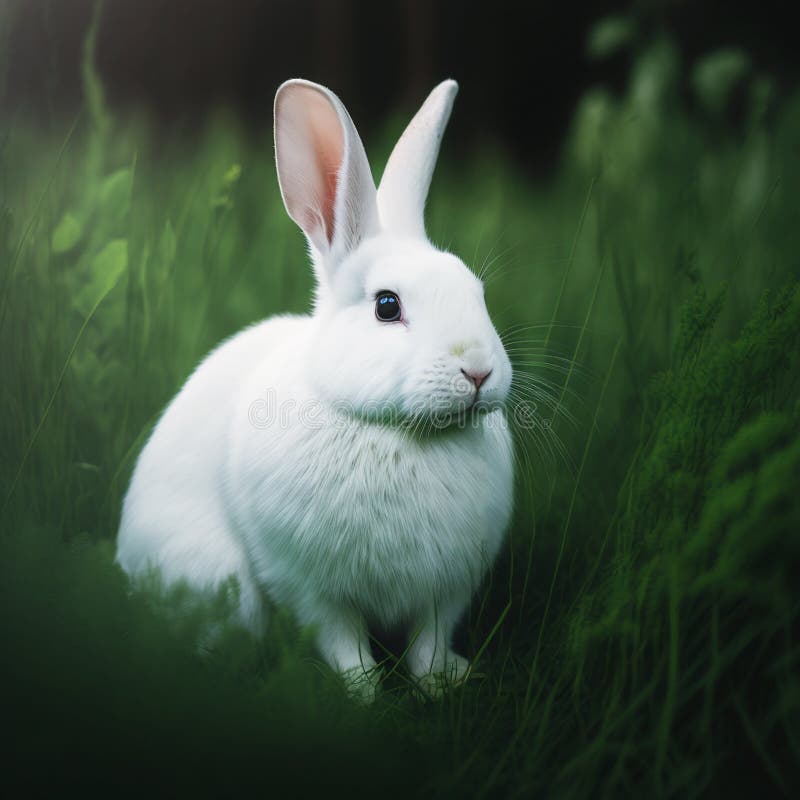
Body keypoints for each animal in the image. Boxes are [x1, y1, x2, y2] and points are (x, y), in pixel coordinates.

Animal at [116, 78, 514, 701]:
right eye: (387, 306)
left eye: (475, 291)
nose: (477, 371)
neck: (400, 432)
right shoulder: (310, 585)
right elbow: (342, 639)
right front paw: (366, 696)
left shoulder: (445, 589)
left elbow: (427, 641)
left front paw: (445, 681)